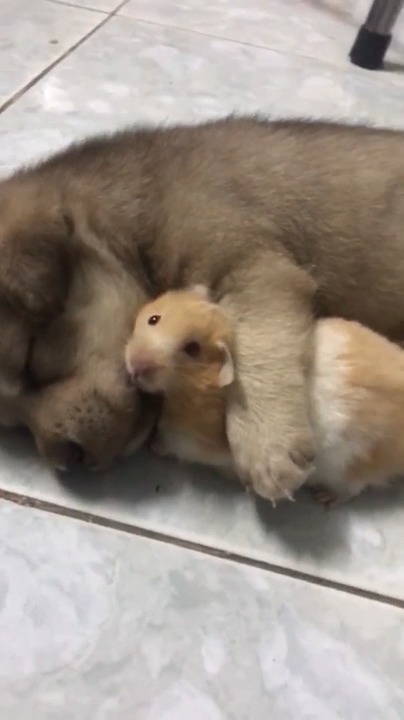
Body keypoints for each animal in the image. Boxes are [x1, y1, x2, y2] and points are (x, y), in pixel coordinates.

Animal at [126, 286, 404, 505]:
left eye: (192, 349)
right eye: (153, 319)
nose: (136, 365)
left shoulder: (191, 440)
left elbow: (172, 444)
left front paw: (153, 447)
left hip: (352, 466)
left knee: (353, 488)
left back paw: (323, 499)